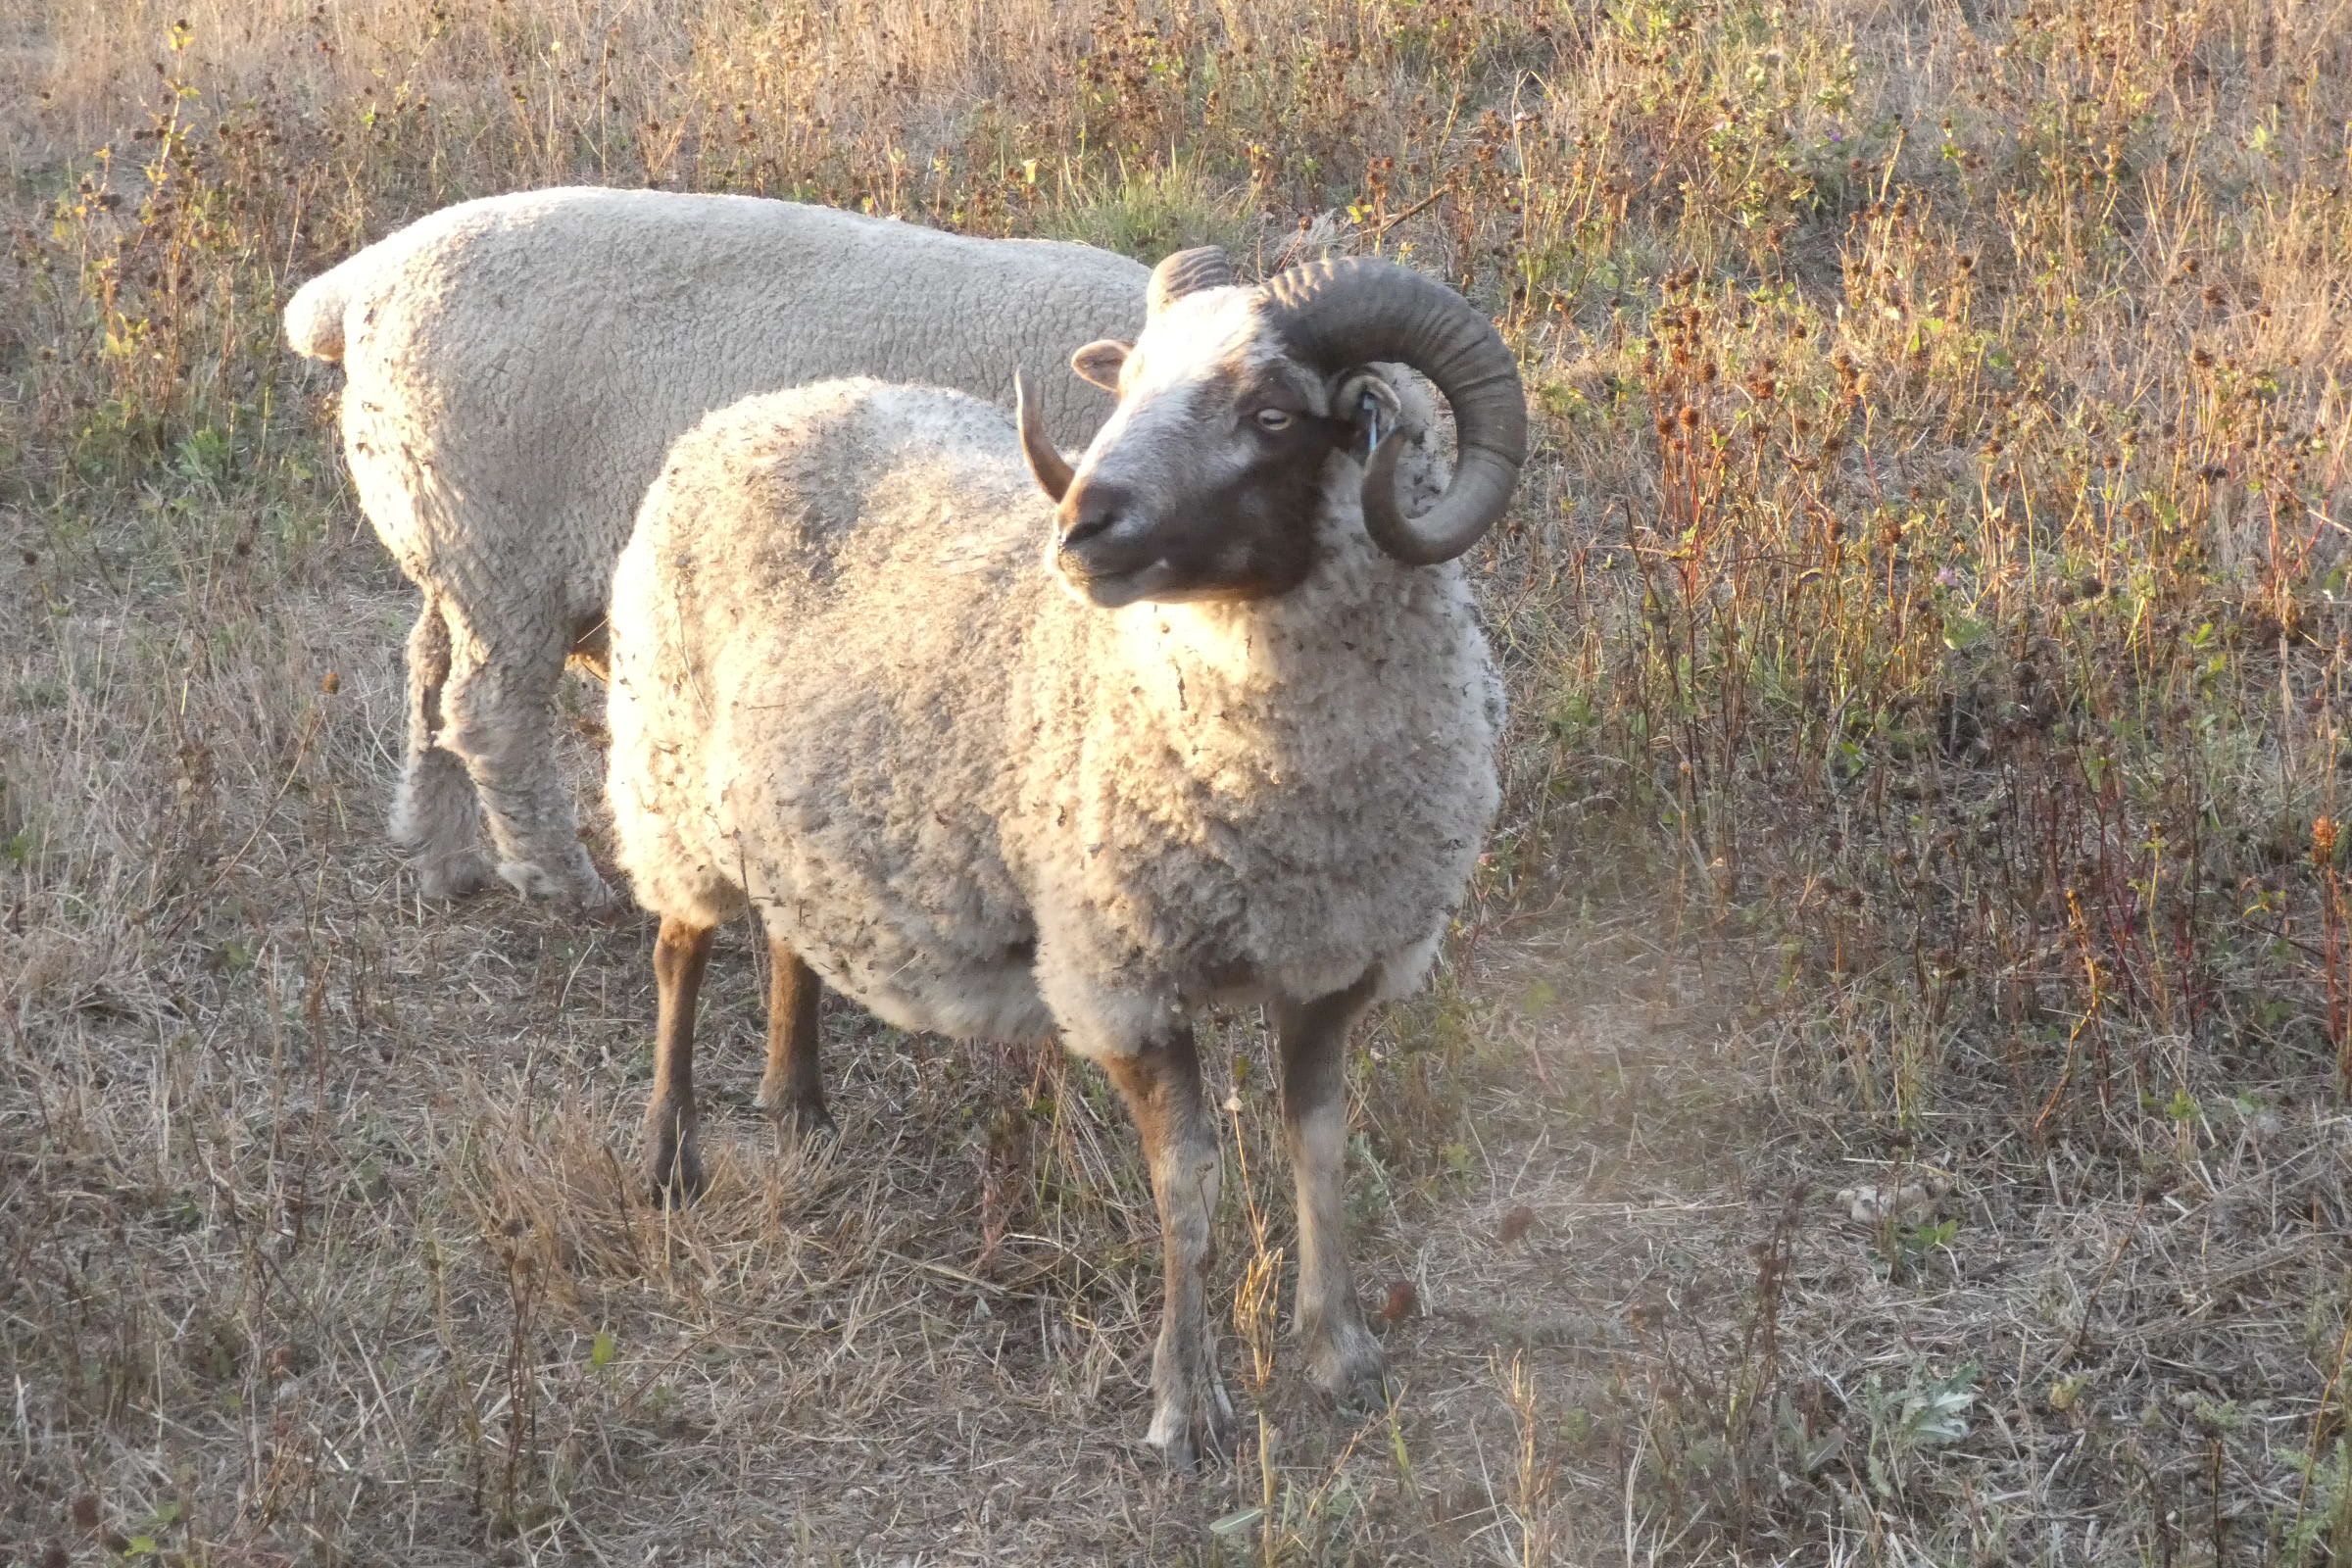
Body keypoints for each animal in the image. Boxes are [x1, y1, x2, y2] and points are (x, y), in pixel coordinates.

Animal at [283, 186, 1149, 904]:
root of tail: (355, 289)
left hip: (451, 535)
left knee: (427, 673)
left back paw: (442, 853)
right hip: (502, 544)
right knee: (491, 712)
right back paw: (559, 879)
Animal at [604, 244, 1526, 1467]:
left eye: (1274, 412)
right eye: (1122, 385)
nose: (1081, 525)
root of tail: (754, 409)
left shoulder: (1336, 959)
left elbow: (1320, 1146)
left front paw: (1341, 1352)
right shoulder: (1121, 976)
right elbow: (1187, 1185)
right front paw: (1187, 1405)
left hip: (798, 806)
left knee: (794, 936)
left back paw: (797, 1105)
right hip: (666, 777)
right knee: (678, 951)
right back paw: (669, 1160)